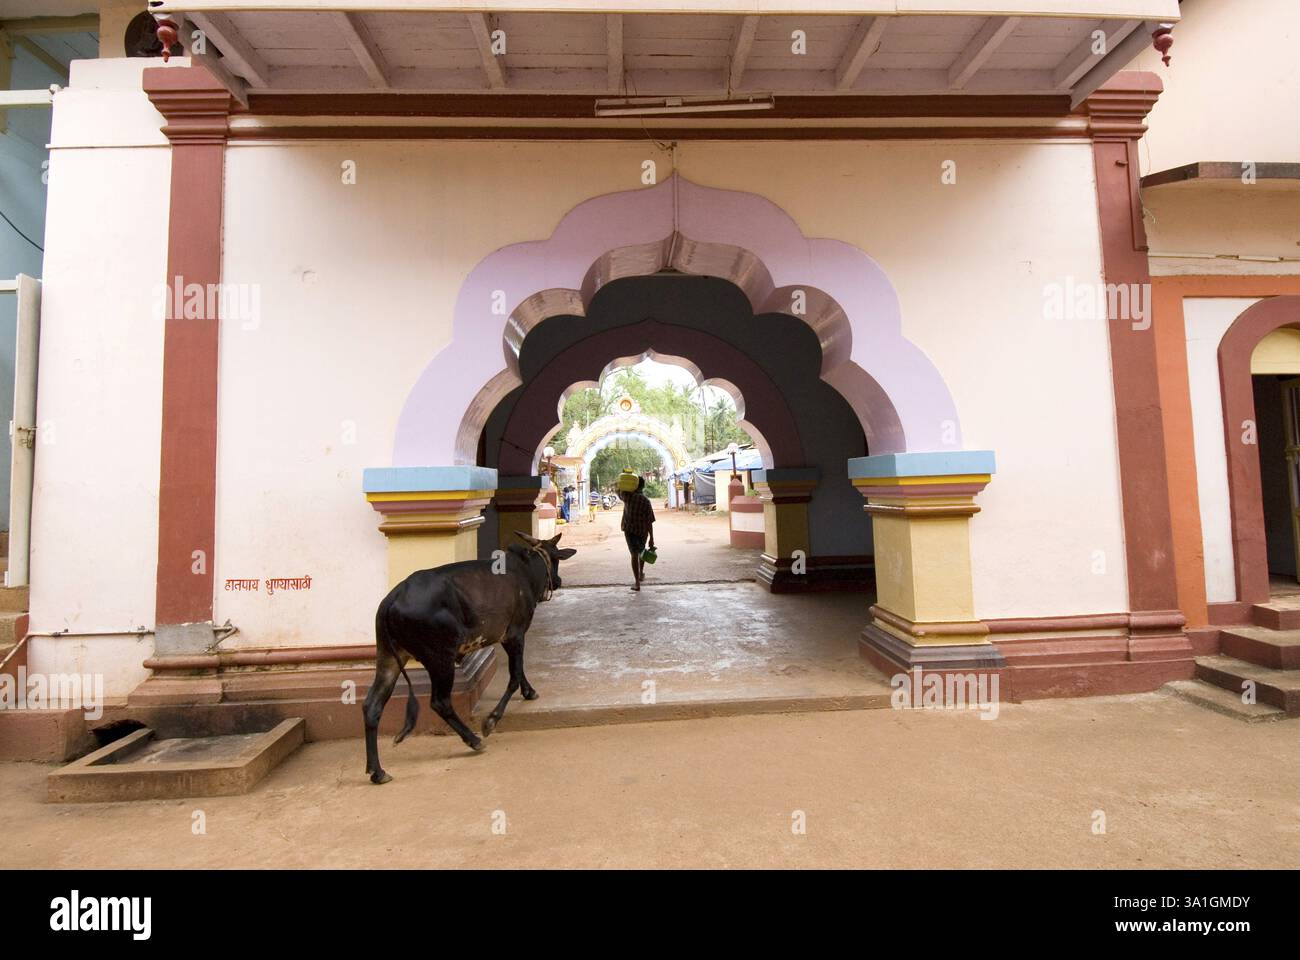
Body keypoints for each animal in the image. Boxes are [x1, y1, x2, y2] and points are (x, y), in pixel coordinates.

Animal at [363, 531, 577, 784]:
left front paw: (530, 691)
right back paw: (474, 740)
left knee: (372, 705)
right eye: (556, 559)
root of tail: (392, 599)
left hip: (389, 657)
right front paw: (491, 721)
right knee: (440, 702)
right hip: (440, 659)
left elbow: (520, 670)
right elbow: (514, 677)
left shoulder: (508, 637)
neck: (526, 570)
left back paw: (377, 771)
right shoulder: (515, 633)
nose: (558, 581)